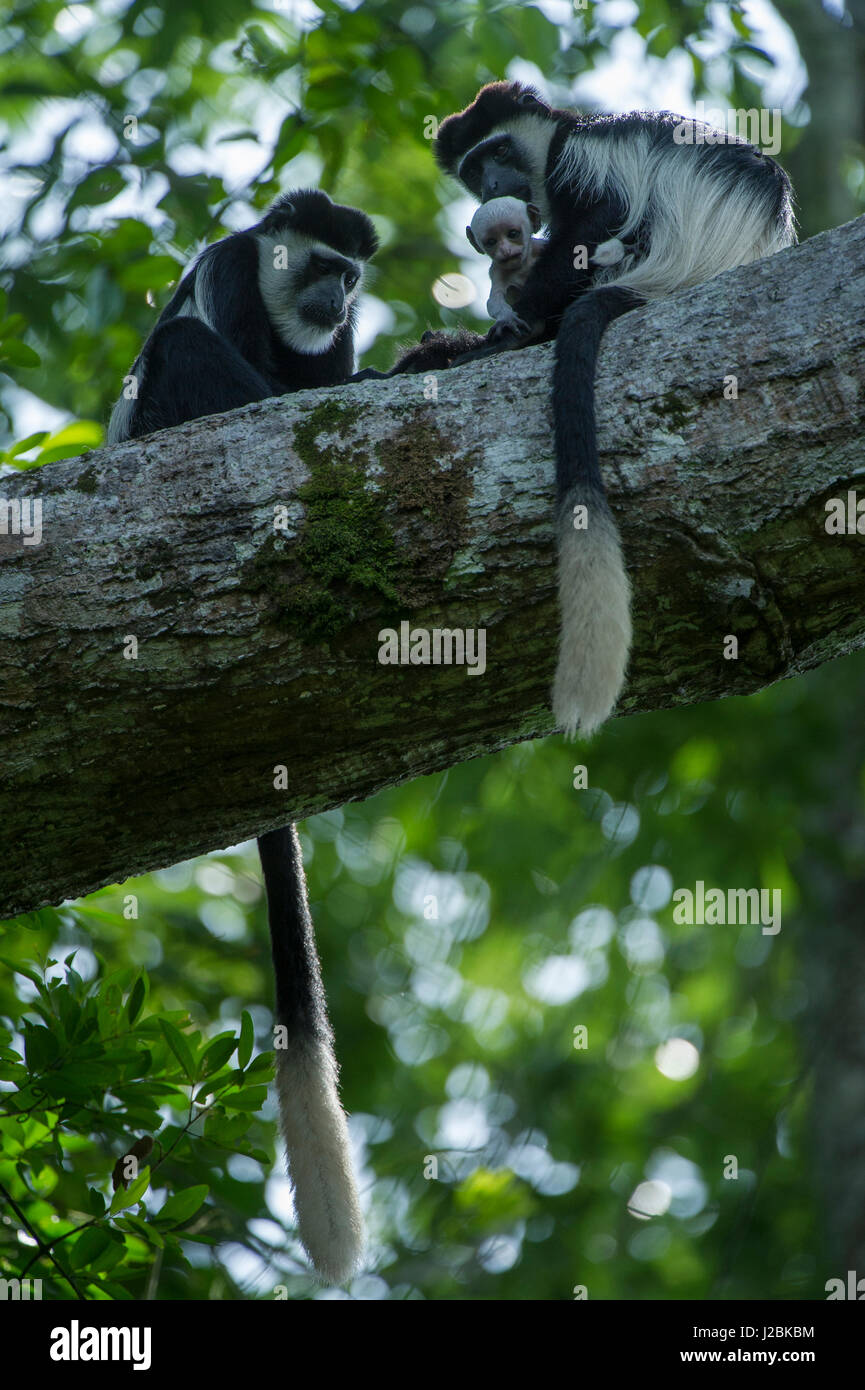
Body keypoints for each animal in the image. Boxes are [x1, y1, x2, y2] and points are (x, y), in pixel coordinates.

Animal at [432, 81, 795, 737]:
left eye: (499, 150)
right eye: (473, 170)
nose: (493, 180)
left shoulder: (580, 161)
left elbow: (592, 220)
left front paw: (504, 328)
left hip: (639, 253)